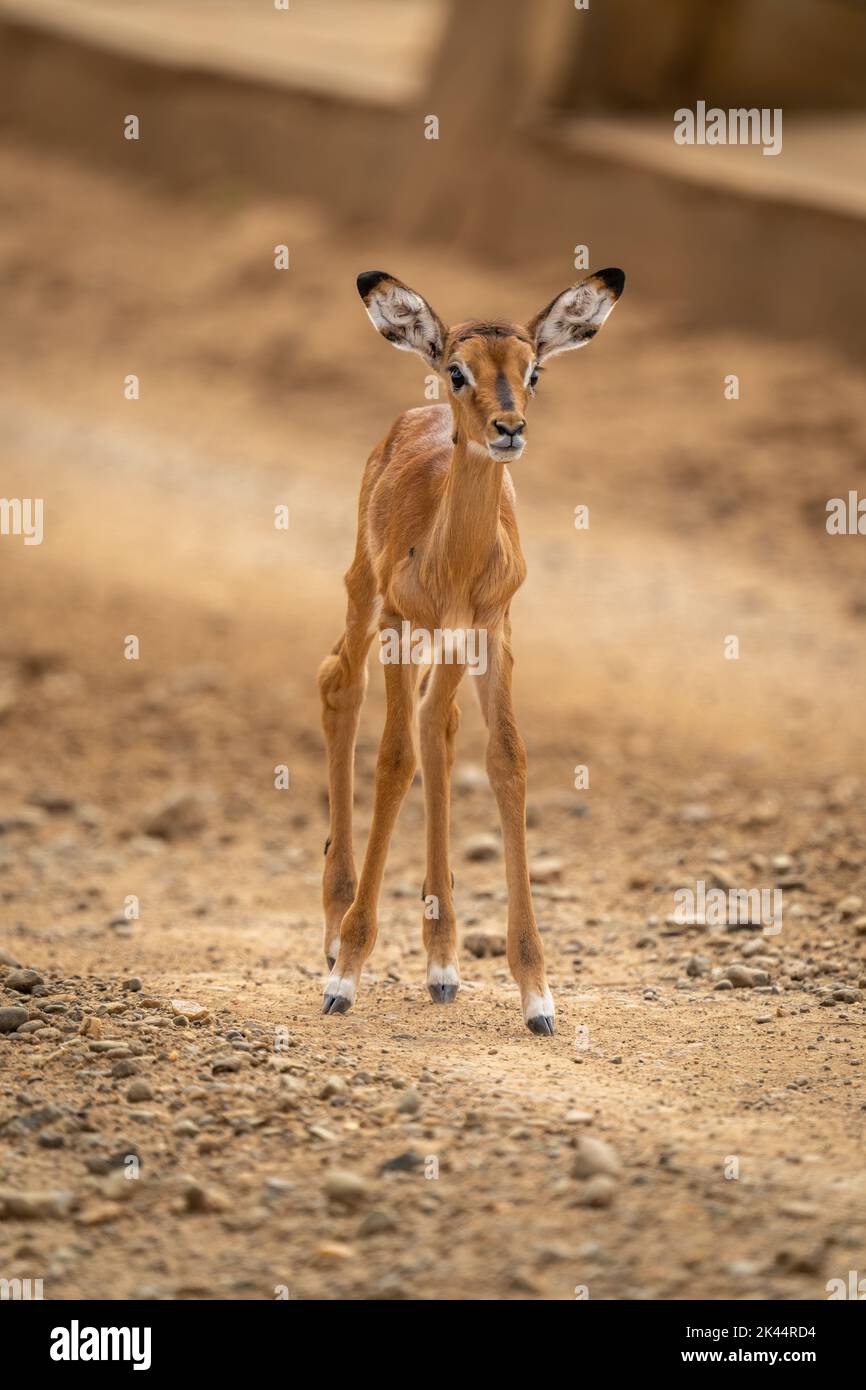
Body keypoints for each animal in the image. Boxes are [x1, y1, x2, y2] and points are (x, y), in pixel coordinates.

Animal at [318, 267, 625, 1034]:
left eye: (534, 370)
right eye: (457, 370)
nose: (508, 429)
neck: (451, 556)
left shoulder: (493, 632)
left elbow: (506, 761)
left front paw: (538, 996)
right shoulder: (401, 626)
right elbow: (392, 761)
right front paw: (345, 977)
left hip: (451, 648)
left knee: (439, 726)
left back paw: (443, 964)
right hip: (365, 598)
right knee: (342, 687)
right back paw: (334, 934)